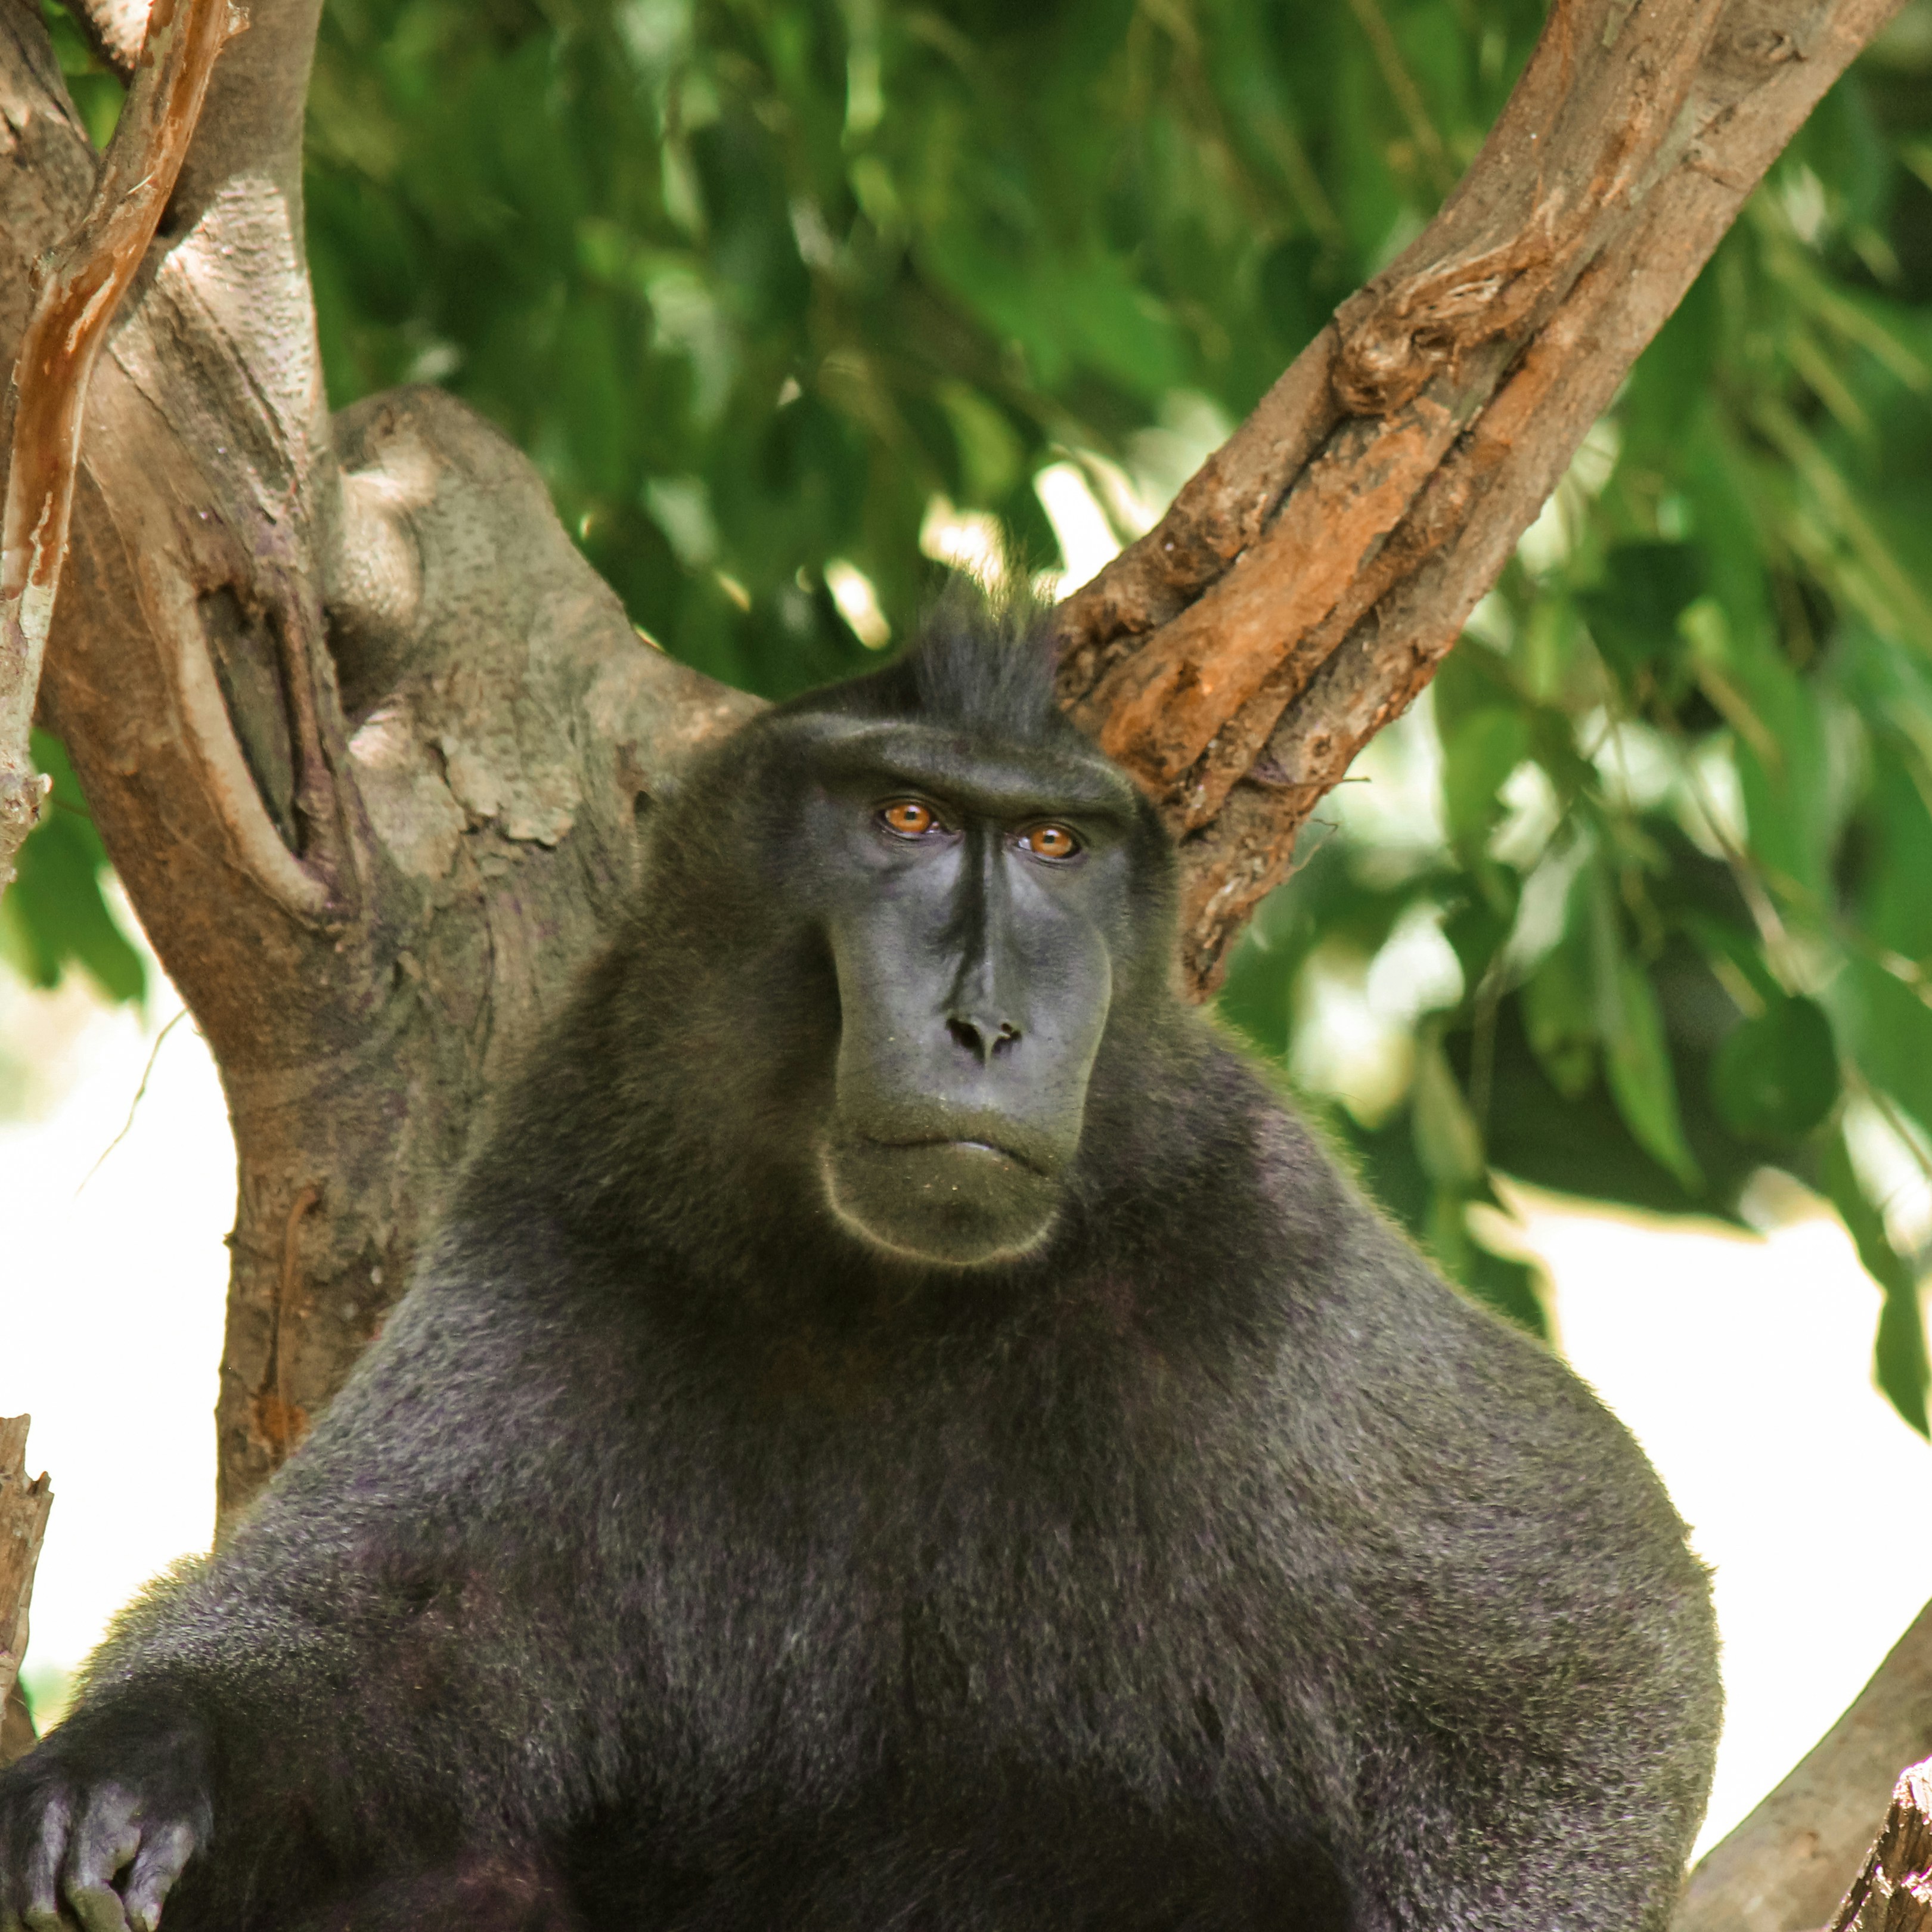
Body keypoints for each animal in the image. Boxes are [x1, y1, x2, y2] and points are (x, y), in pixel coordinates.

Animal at [0, 598, 1720, 1932]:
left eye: (1053, 843)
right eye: (906, 819)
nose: (988, 1027)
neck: (887, 1300)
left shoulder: (1251, 1229)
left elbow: (1582, 1636)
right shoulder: (571, 1215)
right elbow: (373, 1631)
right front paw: (122, 1767)